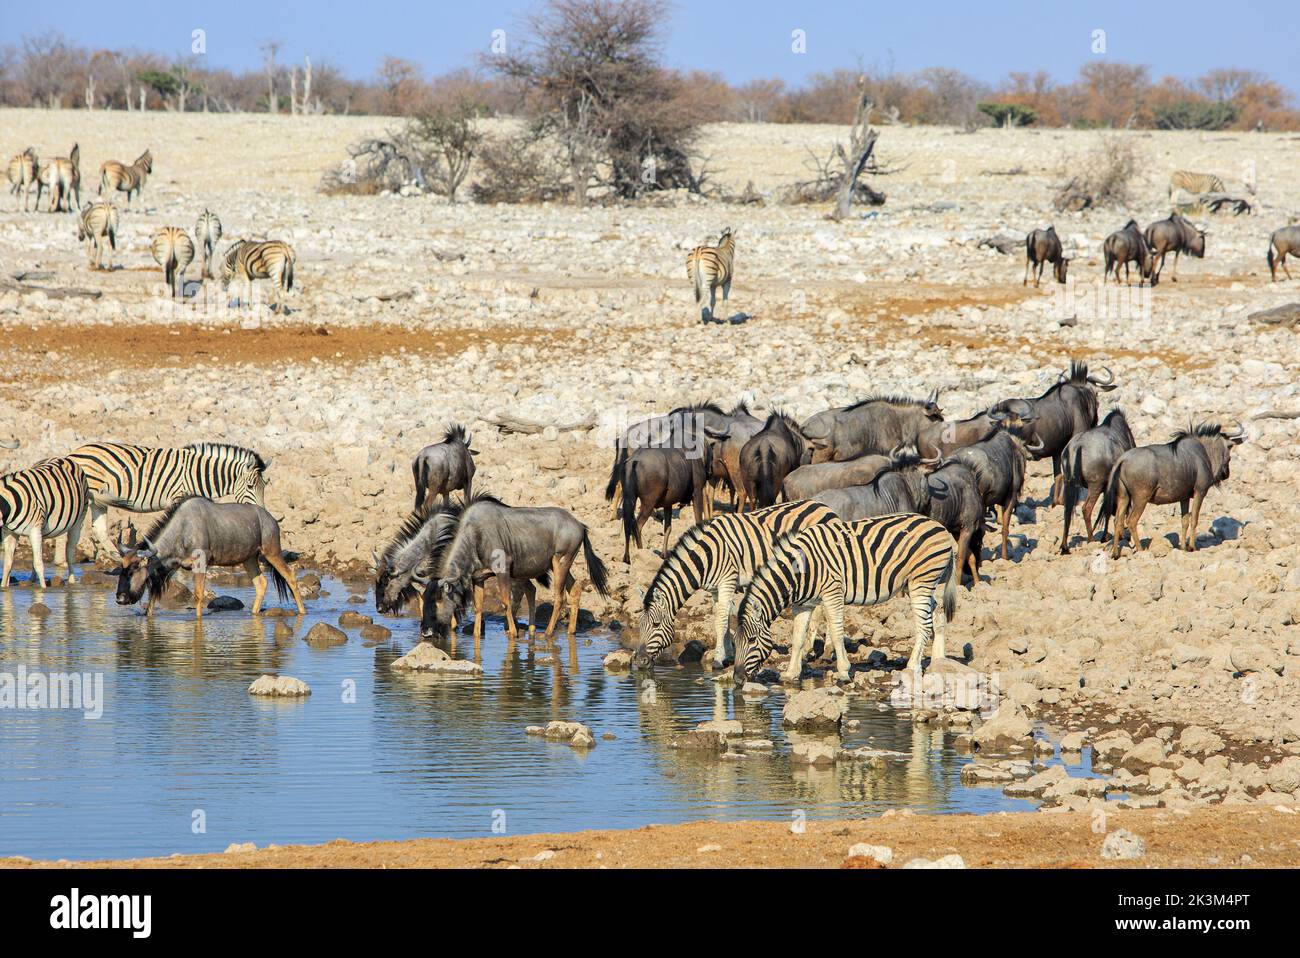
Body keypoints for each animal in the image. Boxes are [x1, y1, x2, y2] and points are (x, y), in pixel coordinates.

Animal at [1, 457, 89, 588]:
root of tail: (62, 458)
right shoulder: (9, 532)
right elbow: (7, 563)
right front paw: (3, 587)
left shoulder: (34, 529)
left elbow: (39, 564)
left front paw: (43, 589)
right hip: (41, 531)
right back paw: (31, 580)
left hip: (78, 521)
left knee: (69, 552)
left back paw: (72, 581)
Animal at [62, 441, 270, 562]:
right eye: (250, 486)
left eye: (265, 487)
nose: (261, 511)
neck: (201, 474)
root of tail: (75, 451)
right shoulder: (178, 497)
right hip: (88, 496)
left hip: (98, 501)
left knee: (98, 529)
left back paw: (117, 558)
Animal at [633, 500, 838, 670]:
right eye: (640, 625)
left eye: (656, 624)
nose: (639, 661)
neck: (706, 556)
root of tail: (824, 506)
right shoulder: (715, 589)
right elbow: (721, 618)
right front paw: (729, 655)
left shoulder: (727, 580)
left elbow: (721, 621)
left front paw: (718, 659)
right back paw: (810, 650)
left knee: (828, 609)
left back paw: (827, 651)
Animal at [733, 513, 958, 685]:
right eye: (734, 641)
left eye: (751, 640)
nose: (737, 679)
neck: (799, 571)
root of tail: (941, 528)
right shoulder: (802, 605)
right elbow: (797, 637)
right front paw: (791, 673)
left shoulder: (832, 592)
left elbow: (836, 631)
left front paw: (843, 671)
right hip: (917, 585)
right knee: (937, 615)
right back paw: (939, 661)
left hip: (921, 581)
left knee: (924, 626)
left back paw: (913, 666)